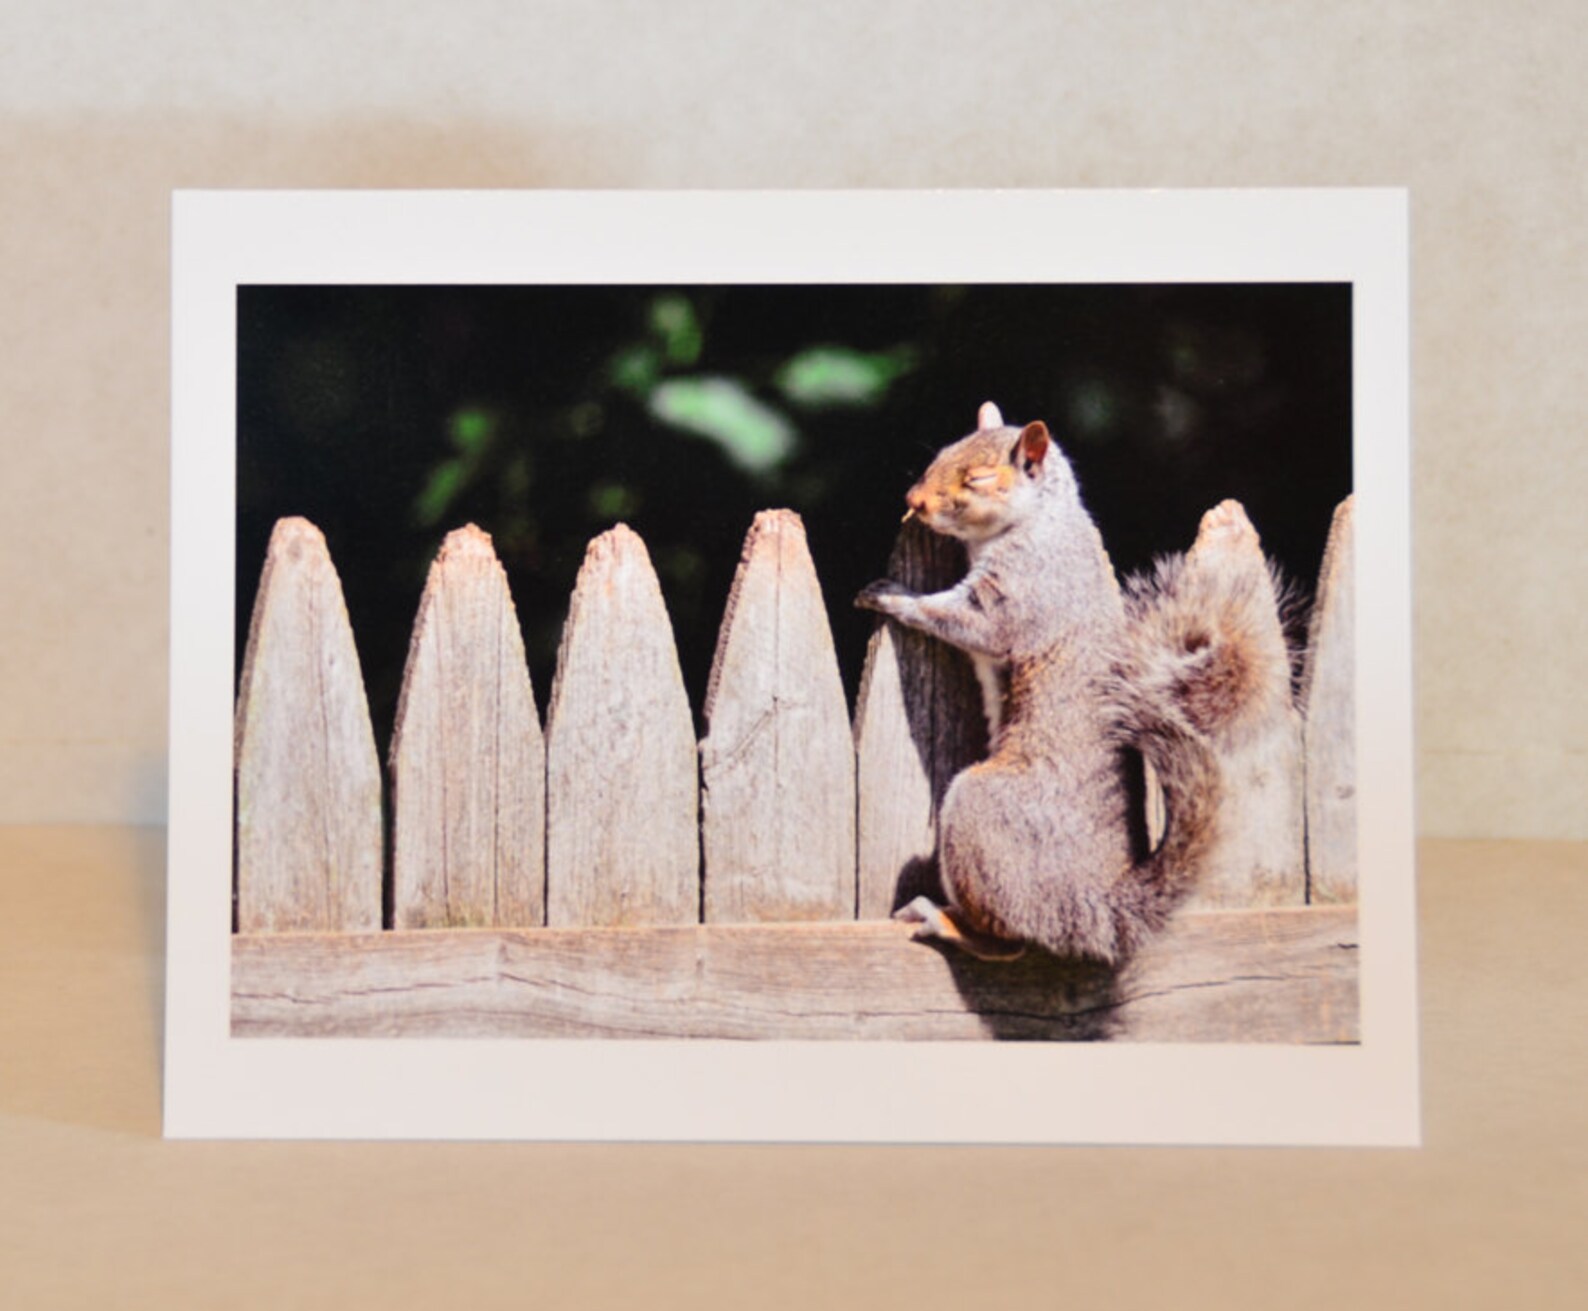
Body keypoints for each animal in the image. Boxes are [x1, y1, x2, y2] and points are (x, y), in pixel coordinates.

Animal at [855, 402, 1293, 964]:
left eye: (978, 478)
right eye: (940, 455)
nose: (914, 501)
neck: (1040, 519)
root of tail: (1095, 910)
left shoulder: (1021, 593)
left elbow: (966, 622)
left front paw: (895, 597)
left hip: (980, 813)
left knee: (1004, 942)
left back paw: (942, 920)